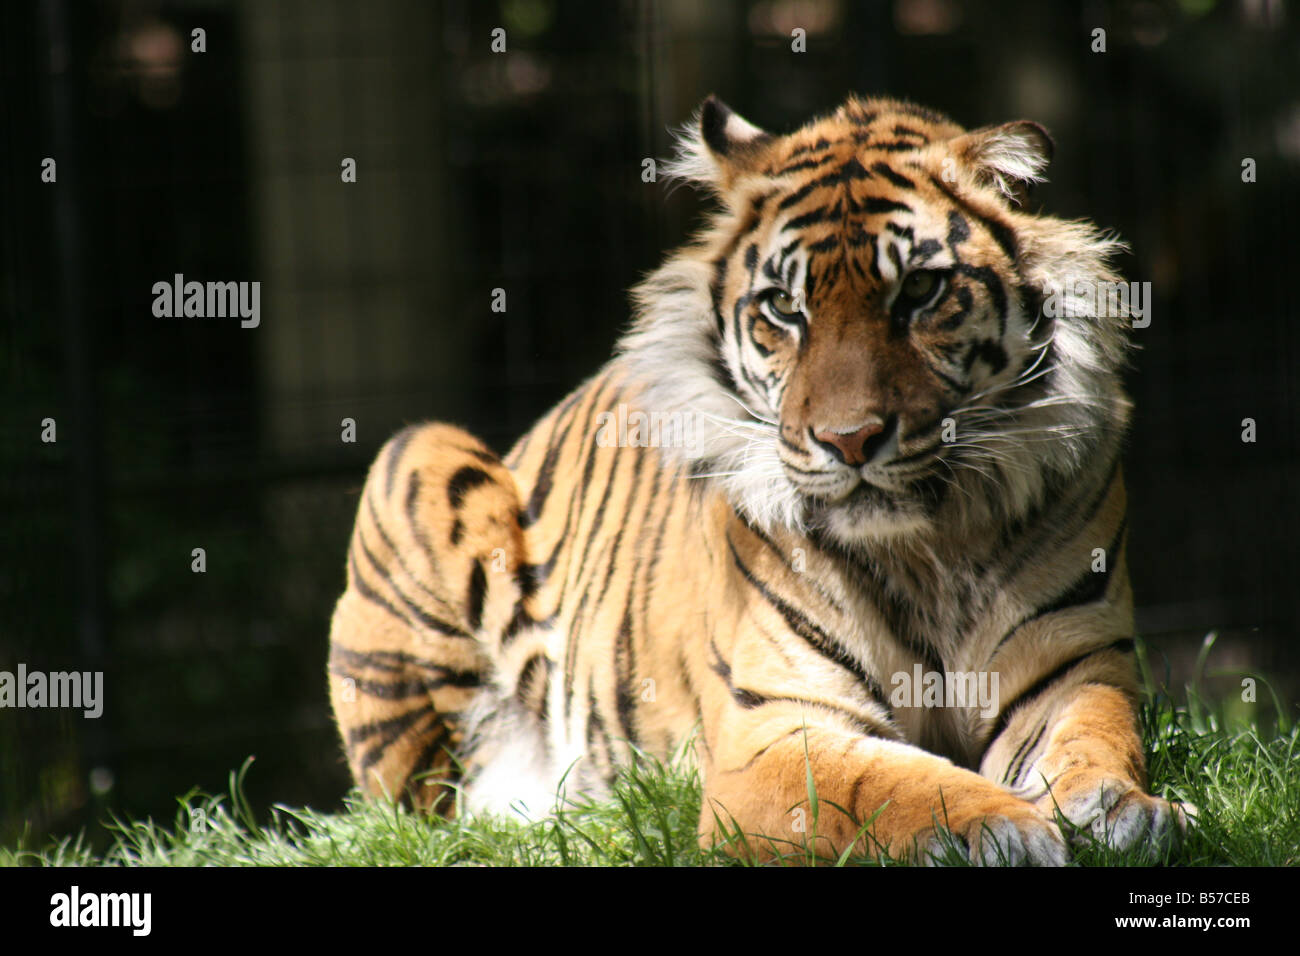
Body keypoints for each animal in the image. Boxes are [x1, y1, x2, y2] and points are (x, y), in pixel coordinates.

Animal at [326, 93, 1192, 865]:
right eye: (783, 306)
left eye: (919, 290)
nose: (849, 439)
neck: (925, 548)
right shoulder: (773, 729)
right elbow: (891, 787)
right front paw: (1002, 825)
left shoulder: (1079, 665)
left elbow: (1095, 739)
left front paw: (1126, 811)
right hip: (419, 455)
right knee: (433, 812)